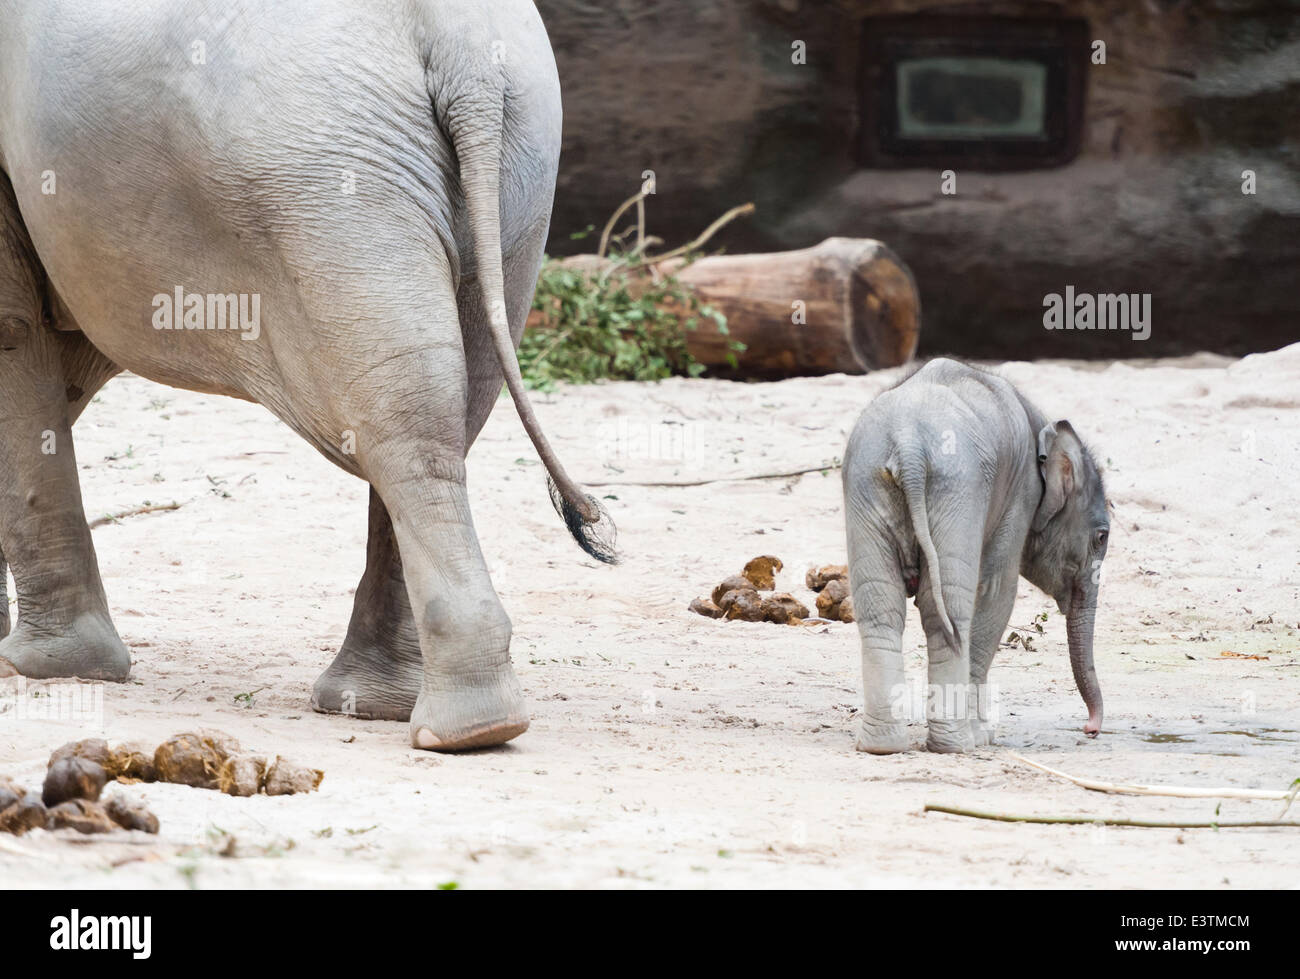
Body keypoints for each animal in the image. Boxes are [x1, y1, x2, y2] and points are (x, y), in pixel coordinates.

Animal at [0, 0, 614, 751]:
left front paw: (43, 666)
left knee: (399, 424)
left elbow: (14, 331)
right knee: (444, 405)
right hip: (507, 179)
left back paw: (461, 727)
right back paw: (389, 704)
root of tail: (464, 48)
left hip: (325, 183)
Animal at [841, 359, 1108, 753]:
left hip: (866, 484)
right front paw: (984, 735)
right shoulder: (1021, 496)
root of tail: (908, 443)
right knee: (949, 611)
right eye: (1101, 537)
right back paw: (958, 743)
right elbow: (998, 593)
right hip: (958, 492)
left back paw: (883, 745)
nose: (1090, 729)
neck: (1040, 422)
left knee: (881, 607)